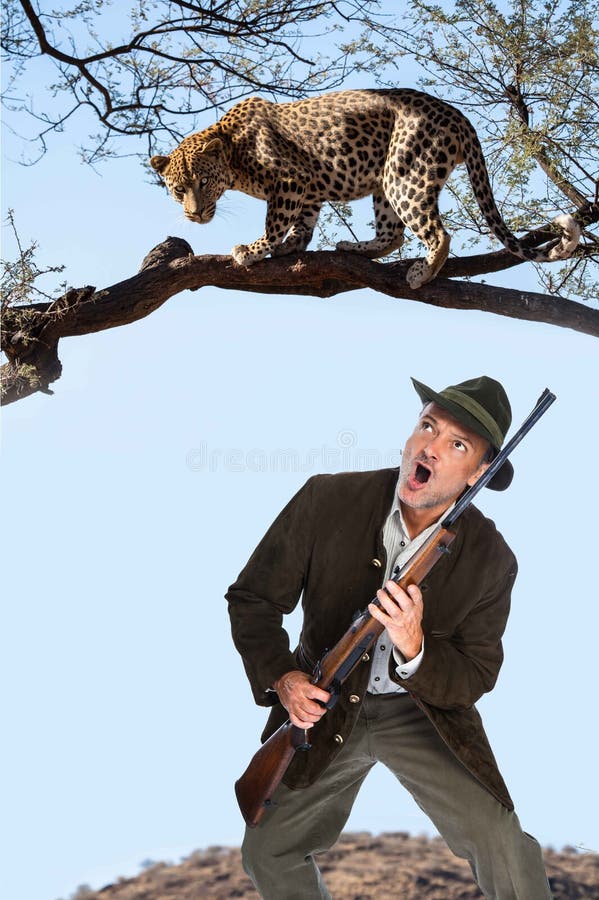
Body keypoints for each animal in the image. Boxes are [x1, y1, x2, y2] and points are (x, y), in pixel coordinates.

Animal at [150, 89, 580, 289]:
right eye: (178, 189)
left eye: (204, 182)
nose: (194, 213)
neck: (232, 151)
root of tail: (460, 117)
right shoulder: (309, 188)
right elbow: (303, 223)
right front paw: (292, 247)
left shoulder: (289, 180)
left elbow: (275, 221)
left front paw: (254, 249)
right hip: (385, 182)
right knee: (393, 234)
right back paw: (355, 247)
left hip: (405, 174)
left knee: (438, 233)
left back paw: (422, 273)